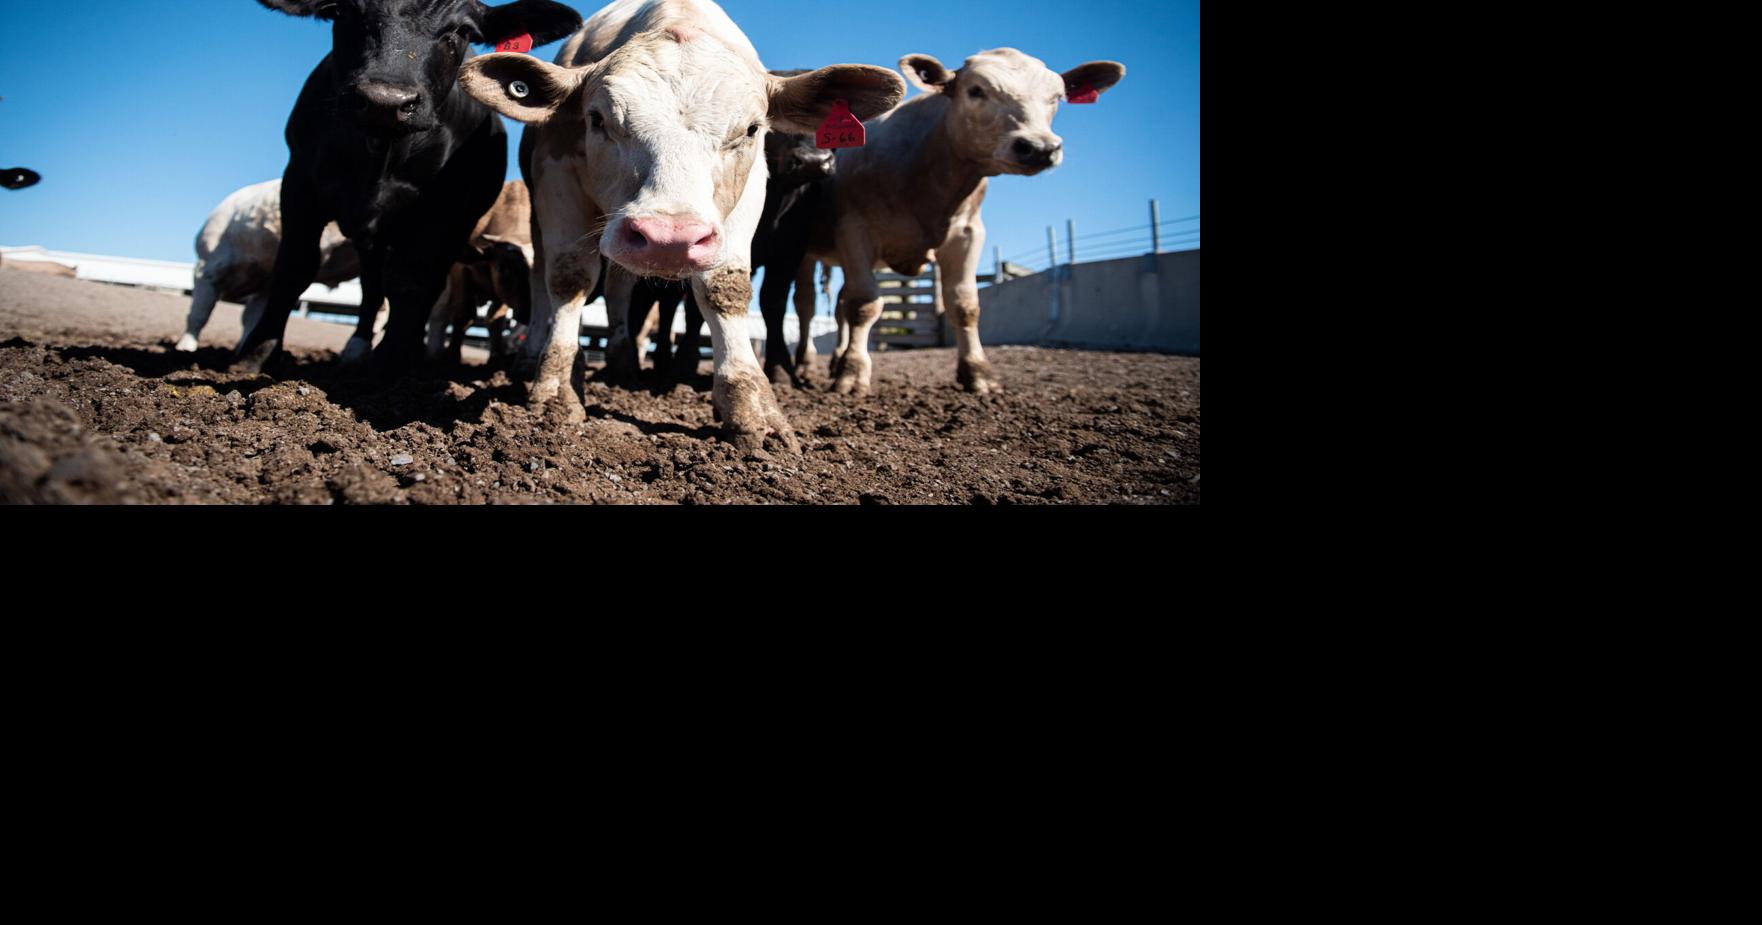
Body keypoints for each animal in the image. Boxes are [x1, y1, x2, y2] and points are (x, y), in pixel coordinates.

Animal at [234, 0, 582, 380]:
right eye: (343, 13)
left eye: (462, 31)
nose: (385, 101)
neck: (382, 153)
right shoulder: (299, 183)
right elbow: (295, 266)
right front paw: (257, 352)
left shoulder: (442, 212)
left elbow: (411, 281)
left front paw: (392, 363)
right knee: (372, 288)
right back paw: (357, 349)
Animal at [457, 0, 904, 454]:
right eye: (597, 120)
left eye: (751, 129)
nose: (668, 240)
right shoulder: (556, 175)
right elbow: (569, 279)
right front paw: (555, 388)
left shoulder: (750, 194)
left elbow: (725, 289)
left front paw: (751, 406)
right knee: (543, 282)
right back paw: (534, 357)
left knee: (619, 289)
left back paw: (622, 360)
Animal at [814, 49, 1124, 396]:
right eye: (976, 90)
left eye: (1056, 97)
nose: (1040, 147)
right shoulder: (854, 231)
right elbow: (864, 305)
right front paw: (853, 373)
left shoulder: (967, 233)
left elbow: (964, 304)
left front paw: (977, 371)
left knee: (839, 305)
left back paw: (836, 359)